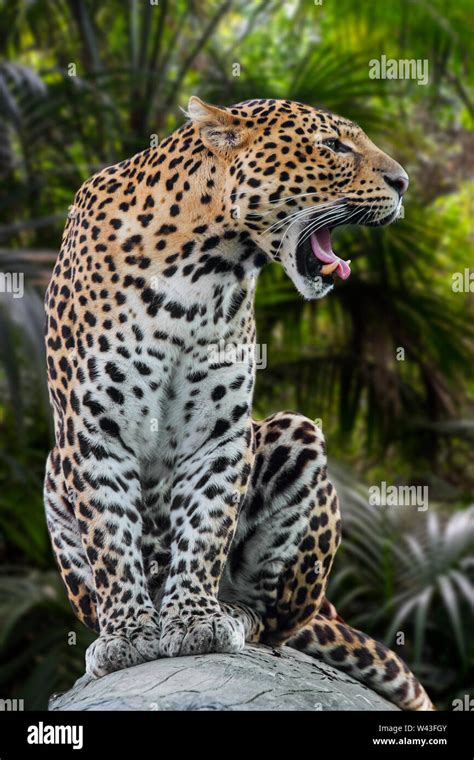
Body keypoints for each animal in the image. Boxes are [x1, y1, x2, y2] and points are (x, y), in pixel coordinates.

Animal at [44, 96, 433, 710]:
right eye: (333, 146)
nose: (403, 182)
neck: (202, 268)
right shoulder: (94, 427)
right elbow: (110, 534)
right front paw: (127, 633)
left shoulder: (219, 432)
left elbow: (206, 525)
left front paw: (197, 620)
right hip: (54, 481)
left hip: (295, 437)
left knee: (275, 622)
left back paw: (231, 612)